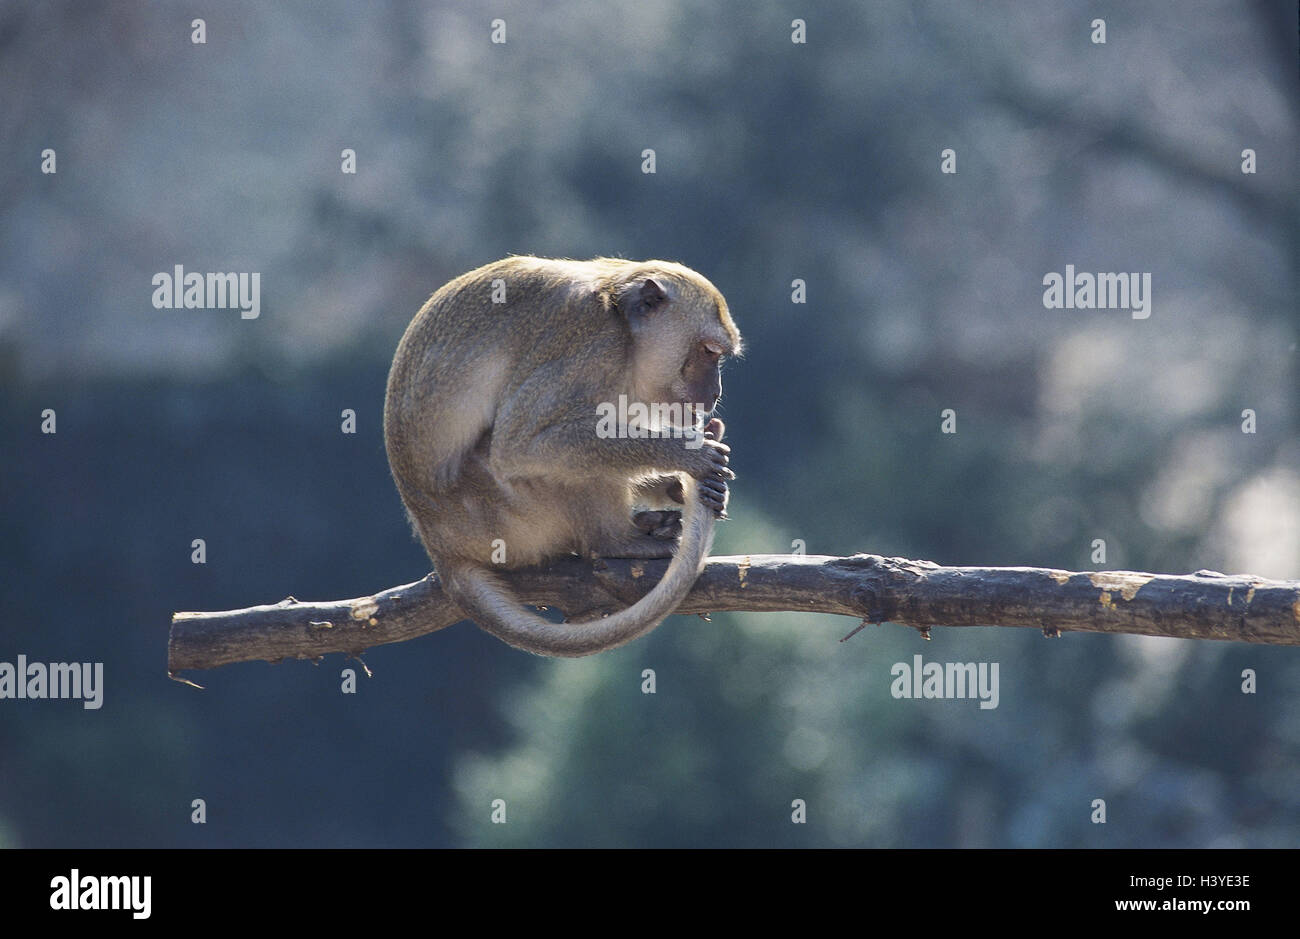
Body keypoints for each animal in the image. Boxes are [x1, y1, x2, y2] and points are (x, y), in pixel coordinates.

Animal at [383, 256, 742, 657]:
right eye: (708, 351)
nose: (715, 391)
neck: (623, 325)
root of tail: (441, 547)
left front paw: (683, 486)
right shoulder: (594, 348)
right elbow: (519, 445)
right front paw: (687, 454)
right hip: (503, 517)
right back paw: (617, 543)